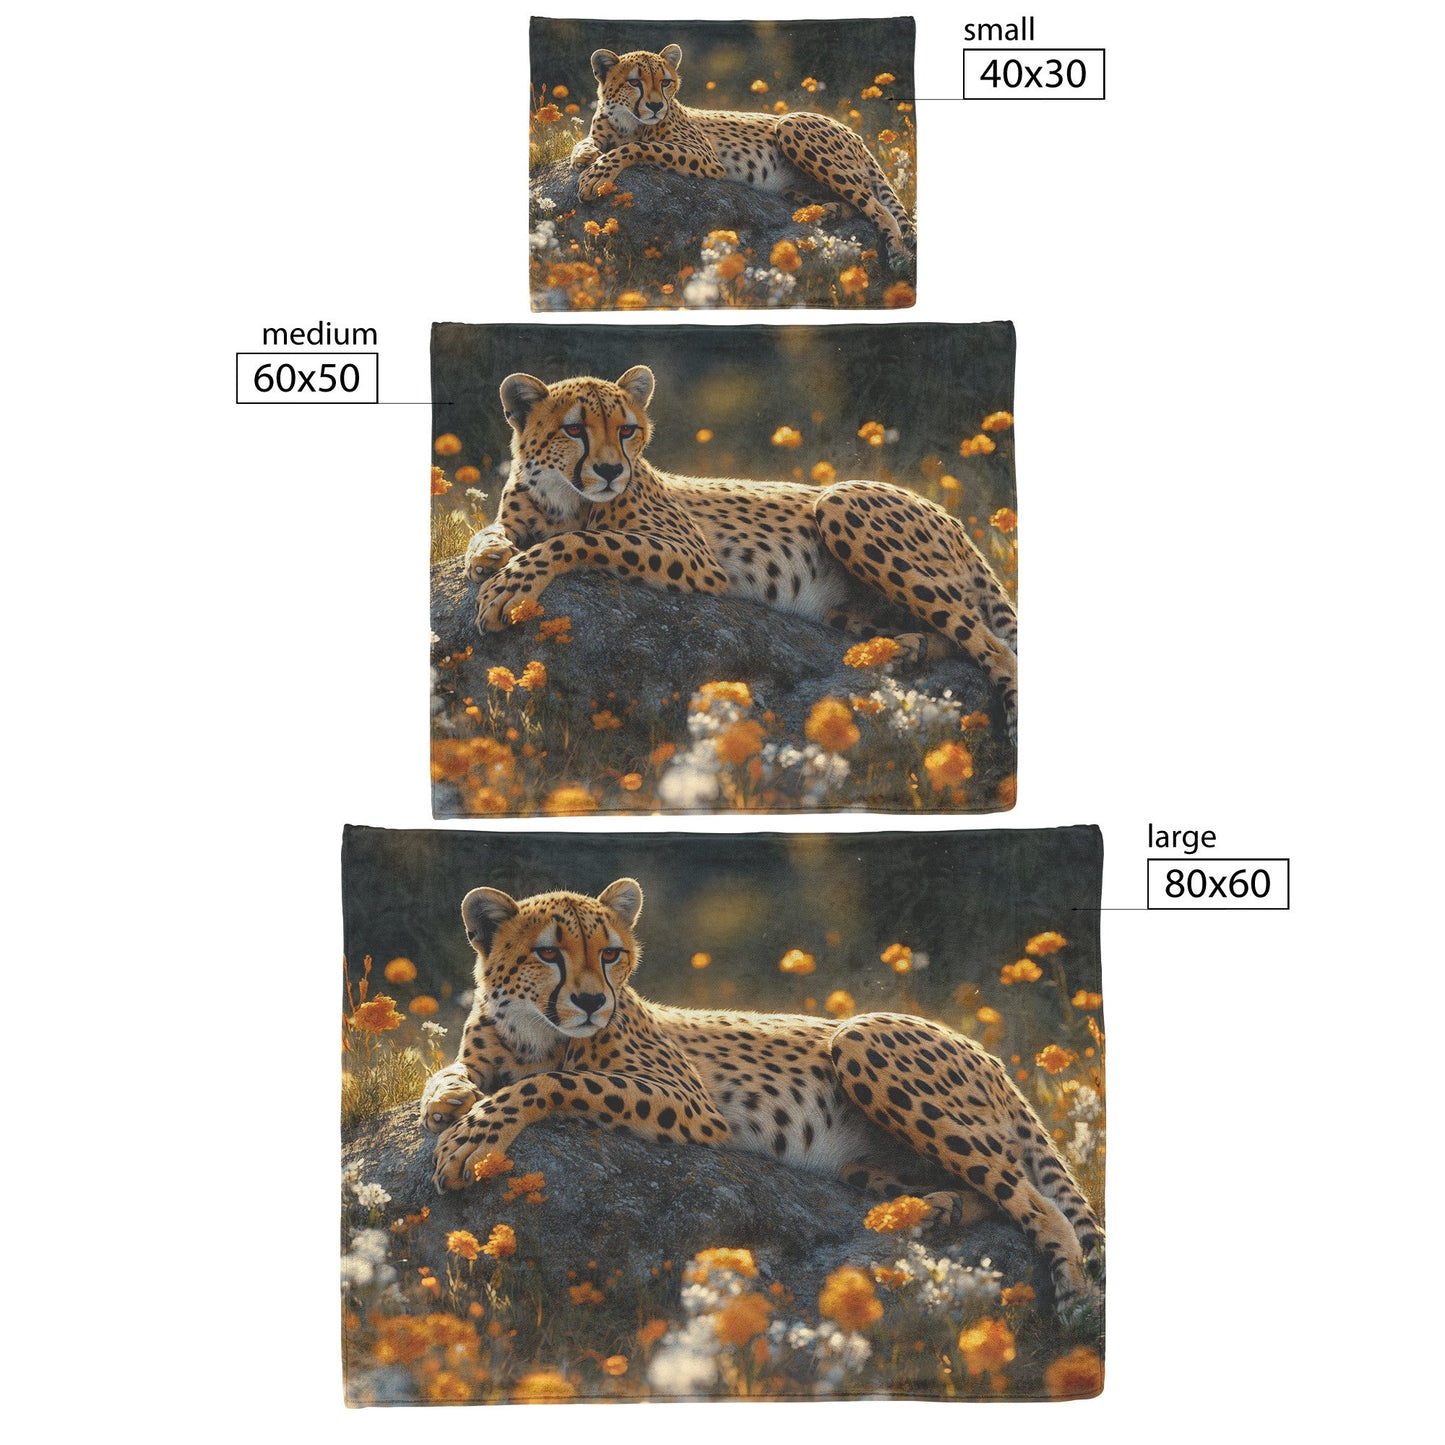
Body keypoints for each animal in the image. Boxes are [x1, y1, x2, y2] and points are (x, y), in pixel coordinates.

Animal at [420, 879, 1103, 1311]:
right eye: (547, 953)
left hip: (861, 1038)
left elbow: (557, 1083)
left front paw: (471, 1140)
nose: (590, 1001)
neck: (533, 1032)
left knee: (1039, 1203)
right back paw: (936, 1210)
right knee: (996, 1189)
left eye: (611, 953)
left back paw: (1069, 1286)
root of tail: (993, 1056)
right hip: (867, 1164)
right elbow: (446, 1073)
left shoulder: (694, 1109)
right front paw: (446, 1101)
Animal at [463, 366, 1019, 736]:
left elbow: (581, 540)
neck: (561, 497)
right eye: (574, 429)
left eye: (627, 429)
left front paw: (508, 588)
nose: (610, 471)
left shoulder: (699, 562)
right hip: (846, 610)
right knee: (964, 635)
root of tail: (954, 518)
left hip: (839, 501)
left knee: (995, 647)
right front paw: (486, 555)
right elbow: (487, 531)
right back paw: (906, 649)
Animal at [569, 44, 915, 268]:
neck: (626, 122)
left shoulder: (708, 159)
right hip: (797, 184)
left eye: (665, 82)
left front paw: (596, 175)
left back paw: (898, 254)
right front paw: (584, 155)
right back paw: (826, 212)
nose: (655, 106)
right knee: (855, 203)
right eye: (633, 82)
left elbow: (638, 147)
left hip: (790, 124)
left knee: (879, 209)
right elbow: (584, 142)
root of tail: (855, 133)